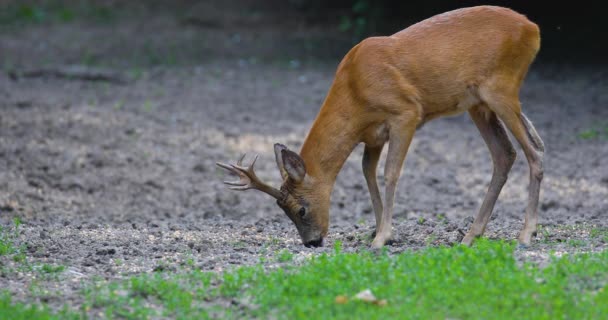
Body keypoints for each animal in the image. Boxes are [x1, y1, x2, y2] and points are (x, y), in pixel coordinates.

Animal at [216, 6, 544, 249]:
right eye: (281, 210)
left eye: (301, 209)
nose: (312, 242)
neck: (354, 91)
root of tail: (533, 29)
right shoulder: (372, 136)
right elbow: (367, 173)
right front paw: (380, 232)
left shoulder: (406, 112)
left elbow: (390, 172)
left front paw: (381, 238)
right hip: (478, 105)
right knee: (506, 154)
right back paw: (471, 235)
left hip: (501, 88)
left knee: (534, 150)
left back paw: (526, 234)